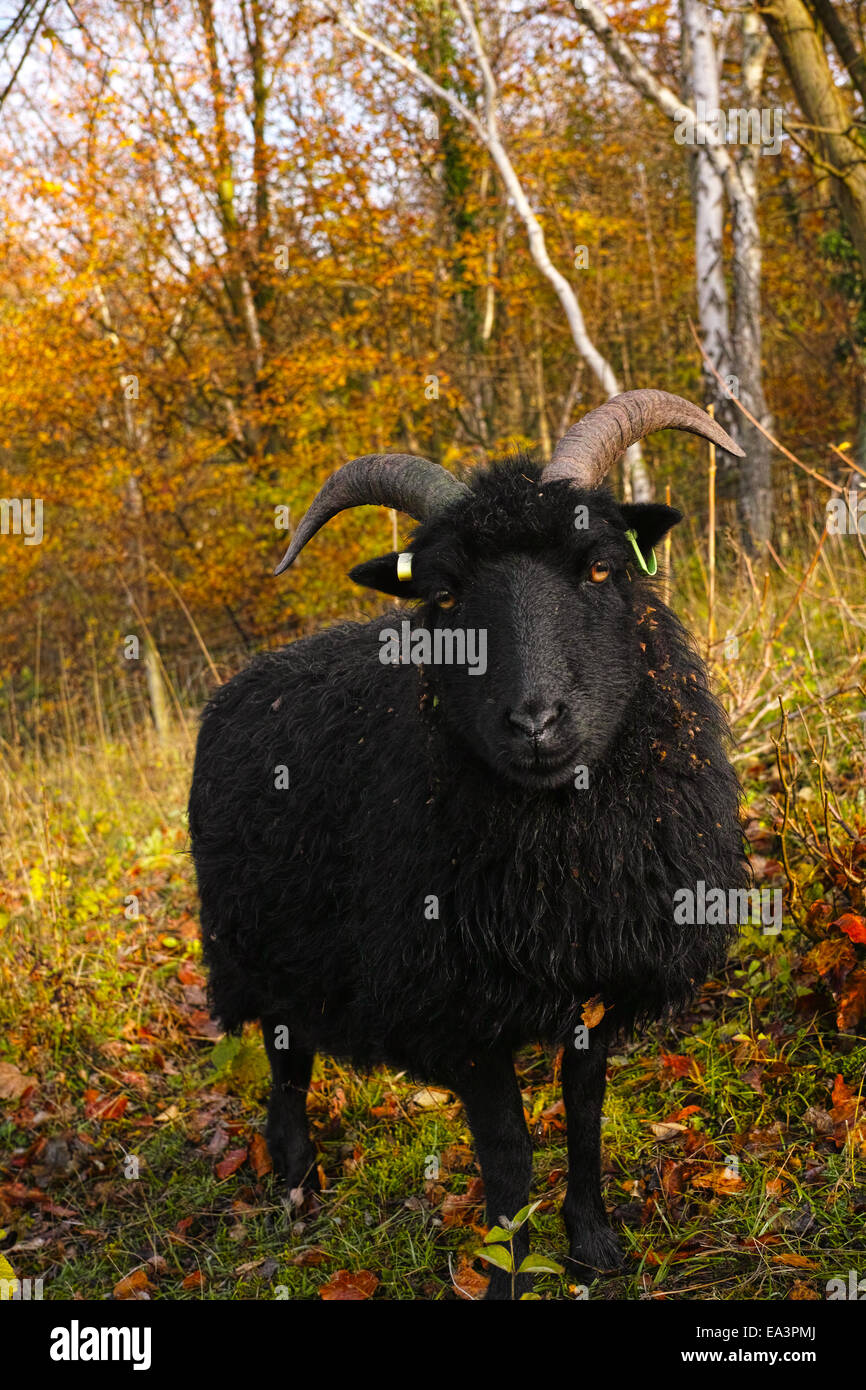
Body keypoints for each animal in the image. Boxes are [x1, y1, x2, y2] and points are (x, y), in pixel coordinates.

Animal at [188, 389, 749, 1299]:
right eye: (444, 596)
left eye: (602, 566)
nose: (535, 721)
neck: (562, 850)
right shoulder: (459, 1009)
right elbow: (509, 1157)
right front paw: (508, 1277)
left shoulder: (601, 977)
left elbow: (584, 1111)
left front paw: (592, 1245)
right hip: (257, 952)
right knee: (286, 1063)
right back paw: (297, 1181)